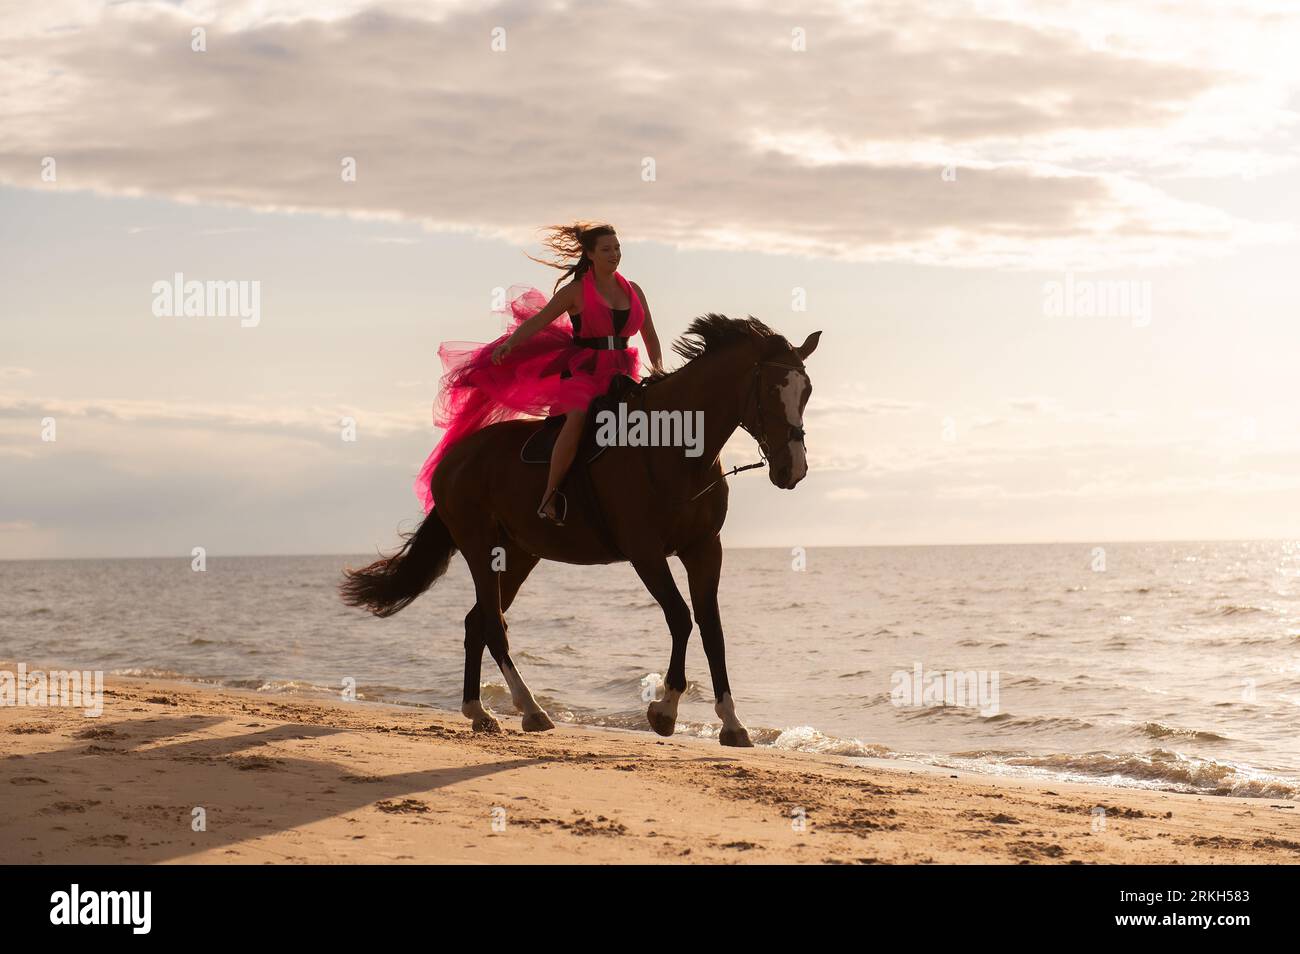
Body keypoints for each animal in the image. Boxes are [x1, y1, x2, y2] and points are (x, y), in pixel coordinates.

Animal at [340, 314, 819, 746]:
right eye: (773, 390)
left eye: (808, 390)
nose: (793, 469)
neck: (675, 449)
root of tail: (452, 459)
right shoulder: (645, 552)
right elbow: (681, 618)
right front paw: (664, 711)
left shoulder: (704, 548)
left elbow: (711, 627)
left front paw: (732, 723)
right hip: (480, 548)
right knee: (493, 625)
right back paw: (531, 710)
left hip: (519, 554)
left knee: (477, 622)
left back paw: (479, 712)